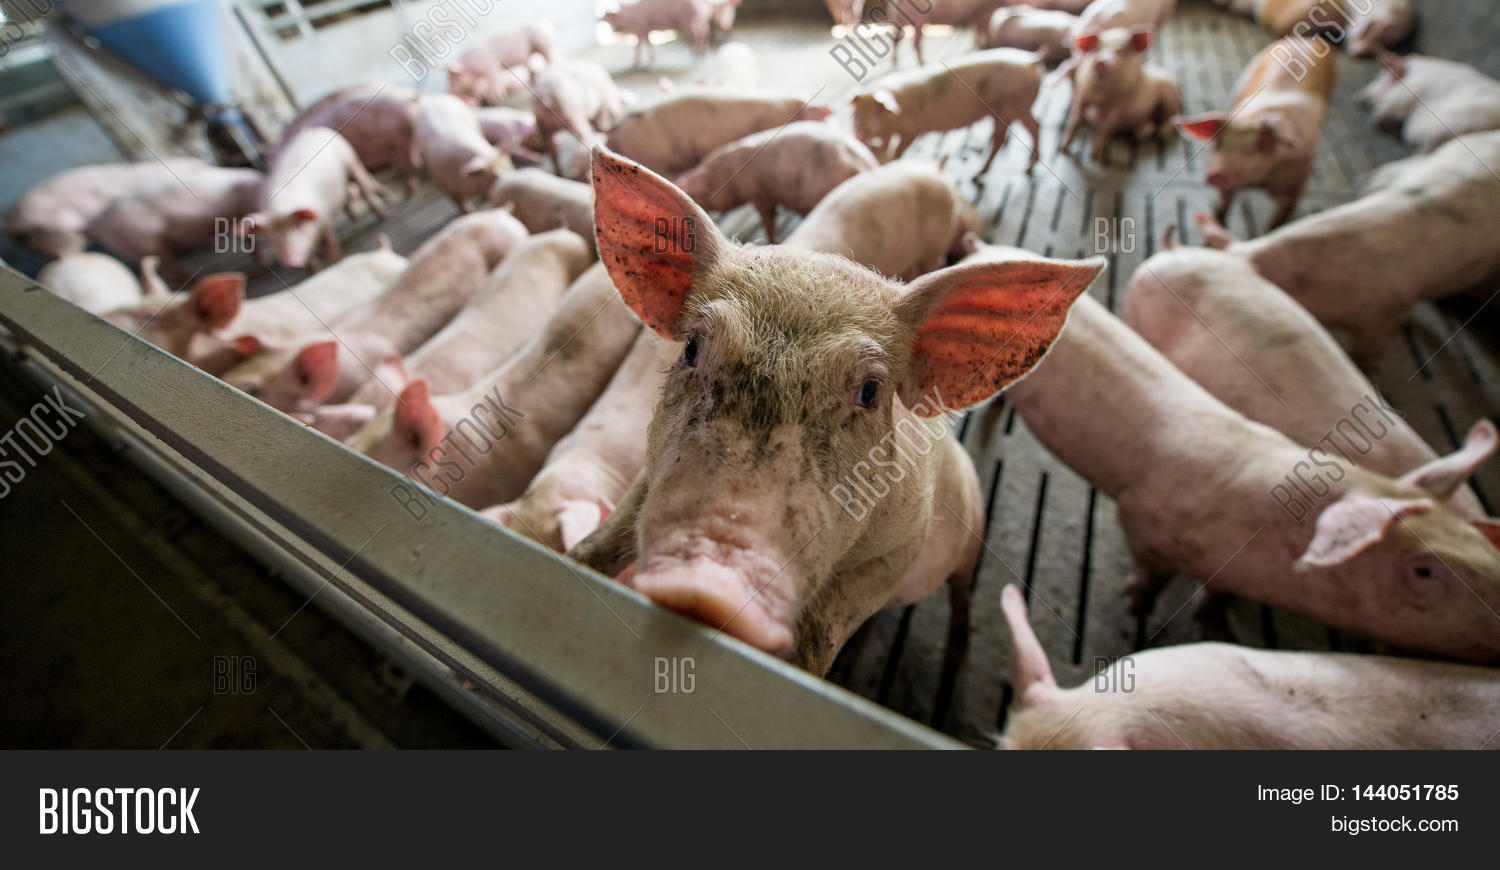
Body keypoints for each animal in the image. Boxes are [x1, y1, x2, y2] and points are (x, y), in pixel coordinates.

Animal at [247, 127, 387, 270]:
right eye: (272, 237)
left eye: (298, 226)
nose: (291, 263)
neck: (281, 205)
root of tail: (314, 130)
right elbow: (310, 260)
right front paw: (315, 270)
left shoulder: (324, 221)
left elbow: (331, 248)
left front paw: (335, 264)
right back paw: (356, 217)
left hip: (351, 159)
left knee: (364, 186)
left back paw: (382, 215)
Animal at [850, 48, 1043, 176]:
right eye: (856, 114)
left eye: (877, 113)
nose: (859, 134)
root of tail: (1029, 60)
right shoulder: (889, 131)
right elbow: (886, 145)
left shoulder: (913, 130)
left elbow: (897, 150)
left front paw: (892, 158)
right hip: (1008, 111)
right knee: (1012, 133)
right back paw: (985, 172)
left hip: (1016, 107)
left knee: (1028, 128)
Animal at [1004, 293, 1500, 663]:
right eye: (1424, 570)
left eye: (1475, 539)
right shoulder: (1142, 523)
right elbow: (1149, 574)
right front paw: (1135, 603)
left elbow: (1216, 593)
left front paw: (1214, 617)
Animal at [1059, 27, 1182, 164]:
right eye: (1095, 50)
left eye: (1122, 50)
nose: (1101, 61)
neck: (1102, 95)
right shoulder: (1082, 94)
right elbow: (1075, 121)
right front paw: (1063, 149)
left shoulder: (1121, 104)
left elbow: (1107, 127)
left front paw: (1095, 158)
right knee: (1151, 124)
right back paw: (1139, 133)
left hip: (1169, 98)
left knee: (1170, 117)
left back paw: (1161, 133)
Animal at [1173, 35, 1334, 230]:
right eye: (1219, 143)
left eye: (1260, 144)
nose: (1219, 173)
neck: (1258, 182)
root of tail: (1307, 40)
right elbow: (1222, 209)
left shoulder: (1296, 186)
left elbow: (1277, 224)